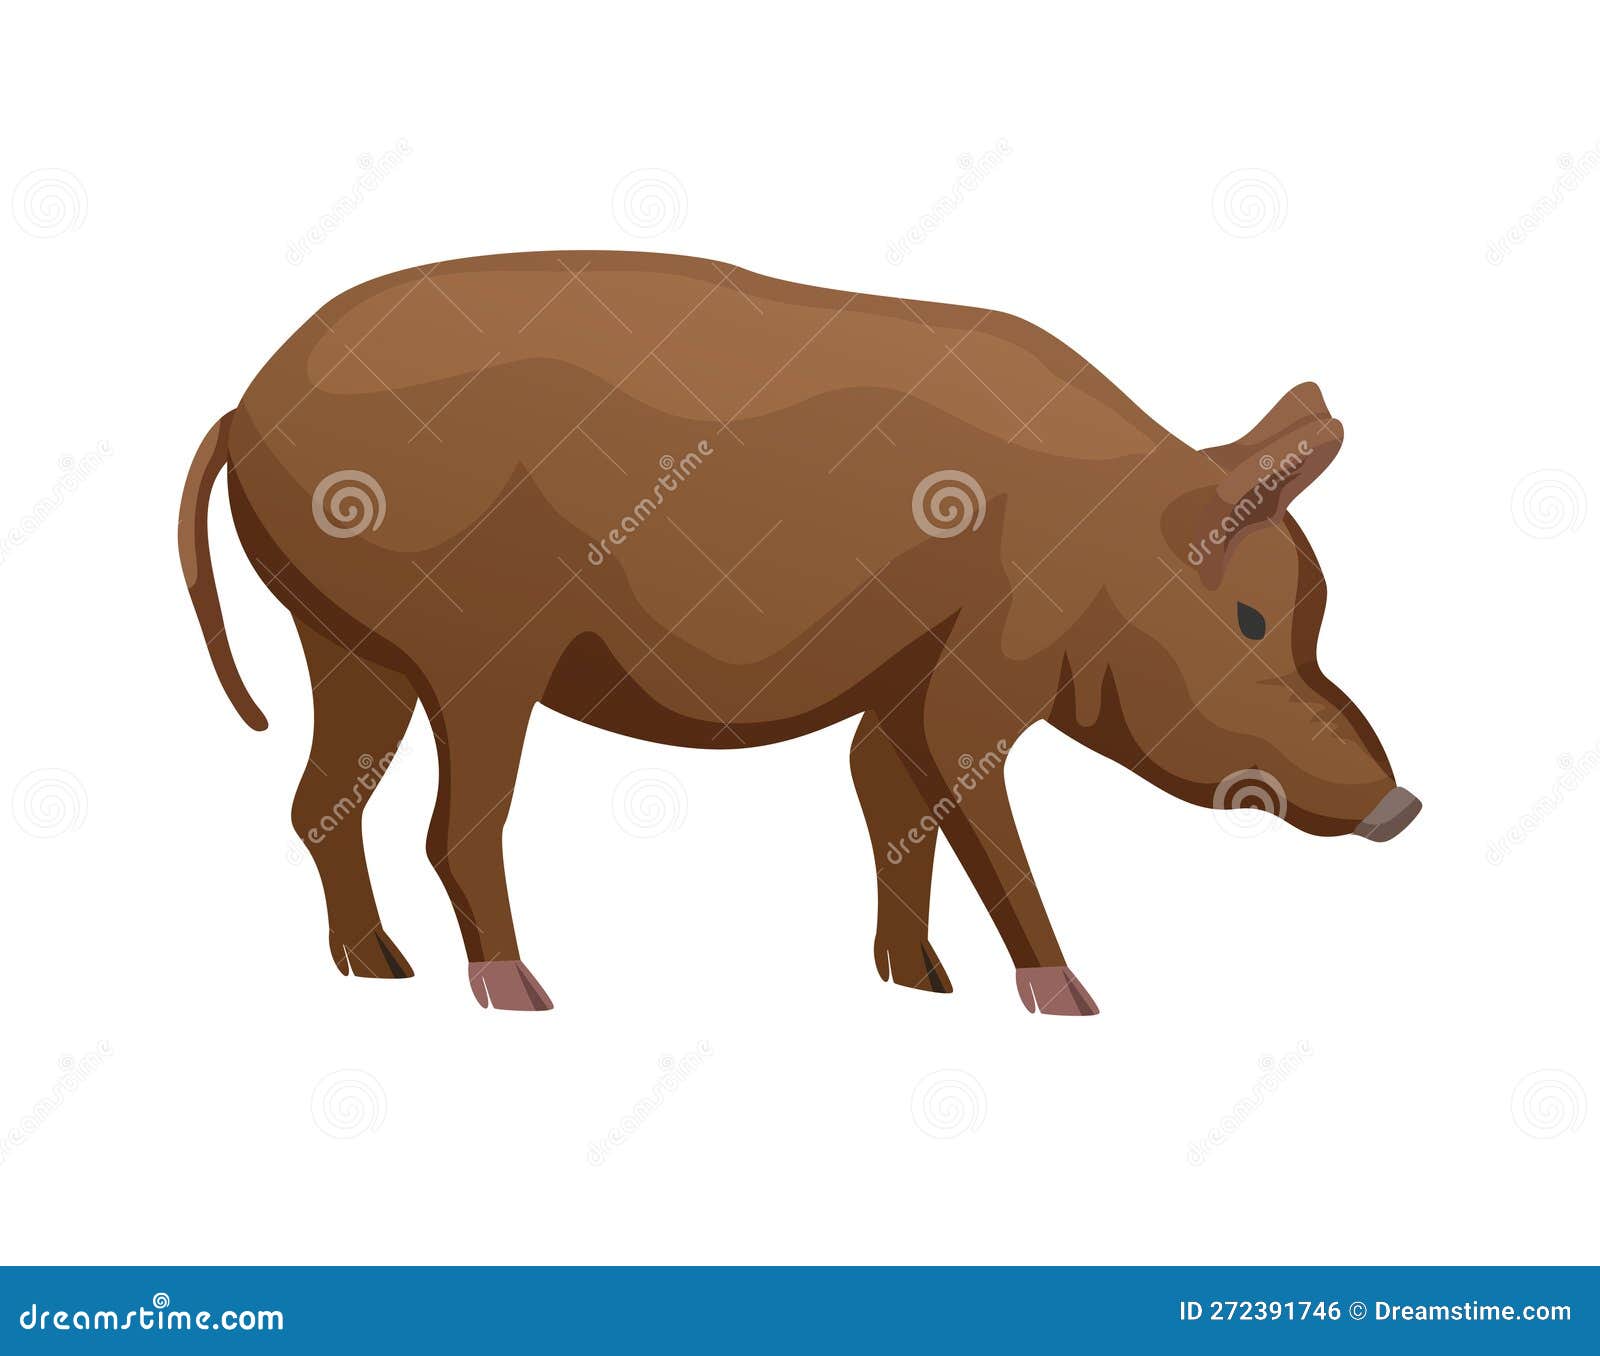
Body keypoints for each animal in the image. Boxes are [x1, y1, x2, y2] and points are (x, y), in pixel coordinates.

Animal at [179, 251, 1419, 1014]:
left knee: (317, 801)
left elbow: (889, 801)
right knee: (451, 826)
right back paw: (519, 994)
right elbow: (973, 805)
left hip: (344, 641)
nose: (1403, 804)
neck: (1099, 545)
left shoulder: (900, 685)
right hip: (473, 648)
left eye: (1309, 618)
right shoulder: (982, 669)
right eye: (1251, 618)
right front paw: (1073, 1005)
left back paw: (377, 975)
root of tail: (242, 405)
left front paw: (919, 988)